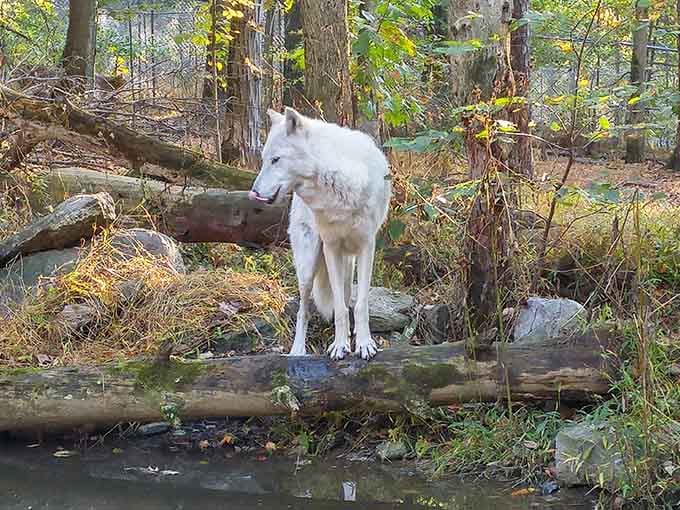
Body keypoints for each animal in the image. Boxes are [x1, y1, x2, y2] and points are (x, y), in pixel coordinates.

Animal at [248, 107, 391, 360]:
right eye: (264, 160)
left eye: (275, 160)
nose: (252, 194)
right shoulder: (331, 247)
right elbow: (339, 310)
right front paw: (339, 346)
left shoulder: (366, 246)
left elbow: (360, 304)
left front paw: (364, 344)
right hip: (308, 264)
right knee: (303, 311)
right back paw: (297, 351)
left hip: (348, 263)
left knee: (347, 299)